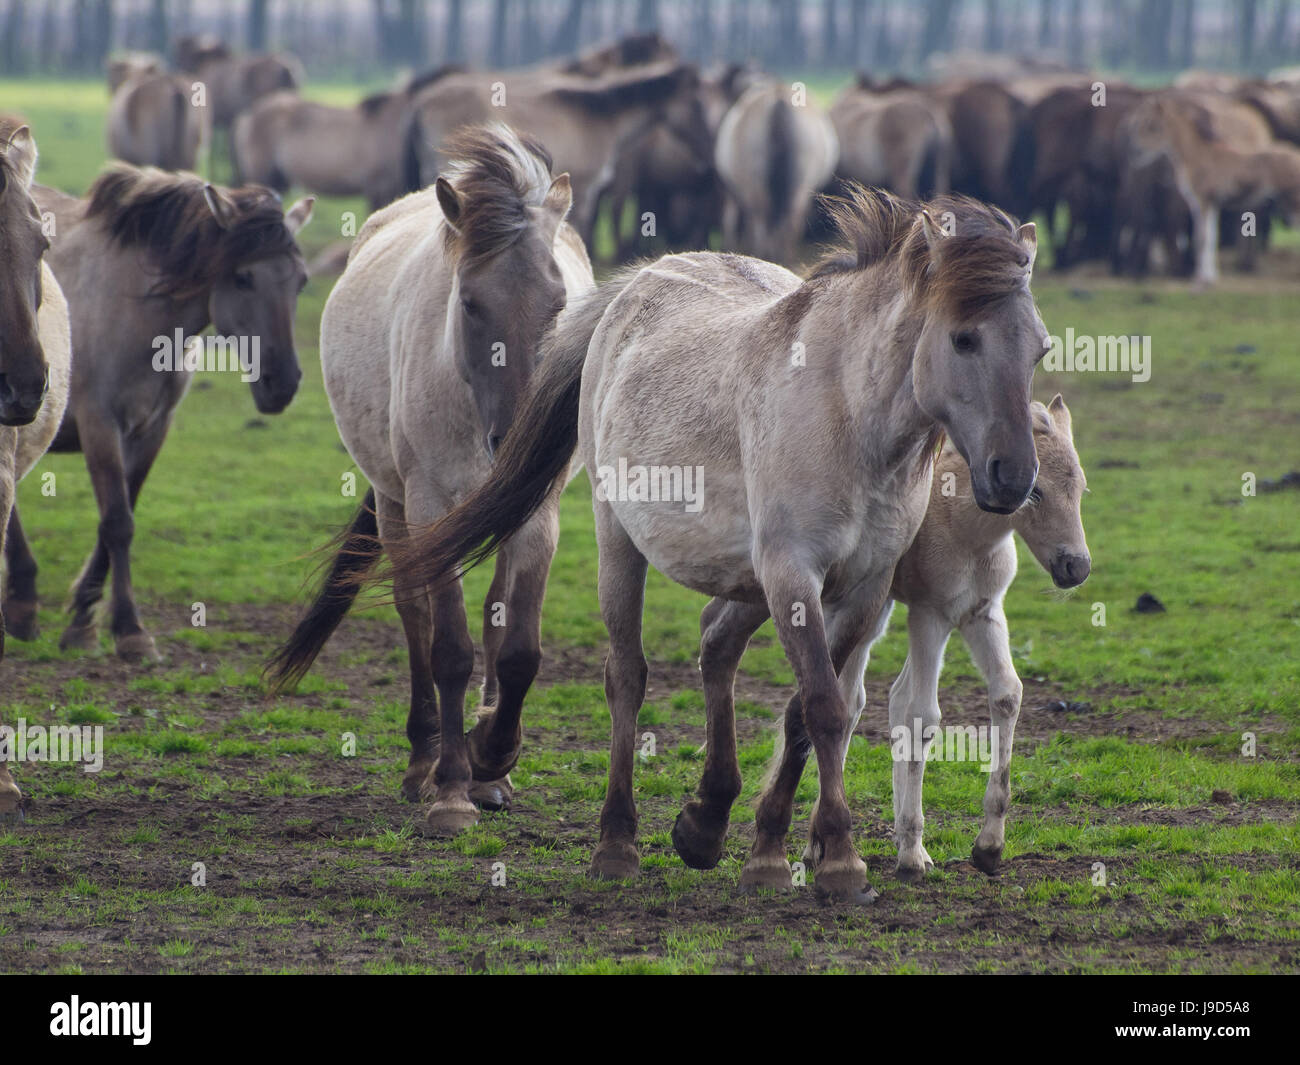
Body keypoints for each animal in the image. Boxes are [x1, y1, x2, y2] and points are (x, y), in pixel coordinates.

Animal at [4, 167, 313, 662]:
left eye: (301, 281)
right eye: (243, 278)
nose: (281, 383)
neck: (138, 309)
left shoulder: (152, 430)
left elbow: (120, 516)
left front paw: (86, 618)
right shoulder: (100, 425)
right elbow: (117, 522)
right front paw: (128, 630)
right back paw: (22, 603)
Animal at [264, 125, 595, 832]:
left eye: (560, 304)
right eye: (469, 303)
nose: (516, 438)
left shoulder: (536, 510)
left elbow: (517, 647)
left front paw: (492, 756)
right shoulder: (431, 507)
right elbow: (448, 648)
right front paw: (450, 790)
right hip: (396, 503)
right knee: (414, 613)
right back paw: (425, 763)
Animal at [374, 186, 1046, 901]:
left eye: (1039, 349)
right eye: (964, 338)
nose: (1013, 475)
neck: (847, 413)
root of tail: (634, 286)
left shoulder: (861, 592)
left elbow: (805, 715)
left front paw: (770, 852)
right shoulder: (792, 575)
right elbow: (824, 708)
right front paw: (840, 861)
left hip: (745, 580)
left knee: (716, 646)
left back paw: (707, 820)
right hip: (623, 542)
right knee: (627, 677)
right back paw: (617, 842)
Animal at [799, 396, 1089, 881]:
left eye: (1082, 489)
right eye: (1036, 492)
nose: (1077, 567)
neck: (970, 536)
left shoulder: (983, 613)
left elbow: (1007, 695)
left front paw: (987, 848)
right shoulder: (929, 614)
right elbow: (923, 714)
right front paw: (913, 858)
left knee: (878, 699)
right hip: (863, 610)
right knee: (850, 700)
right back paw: (816, 847)